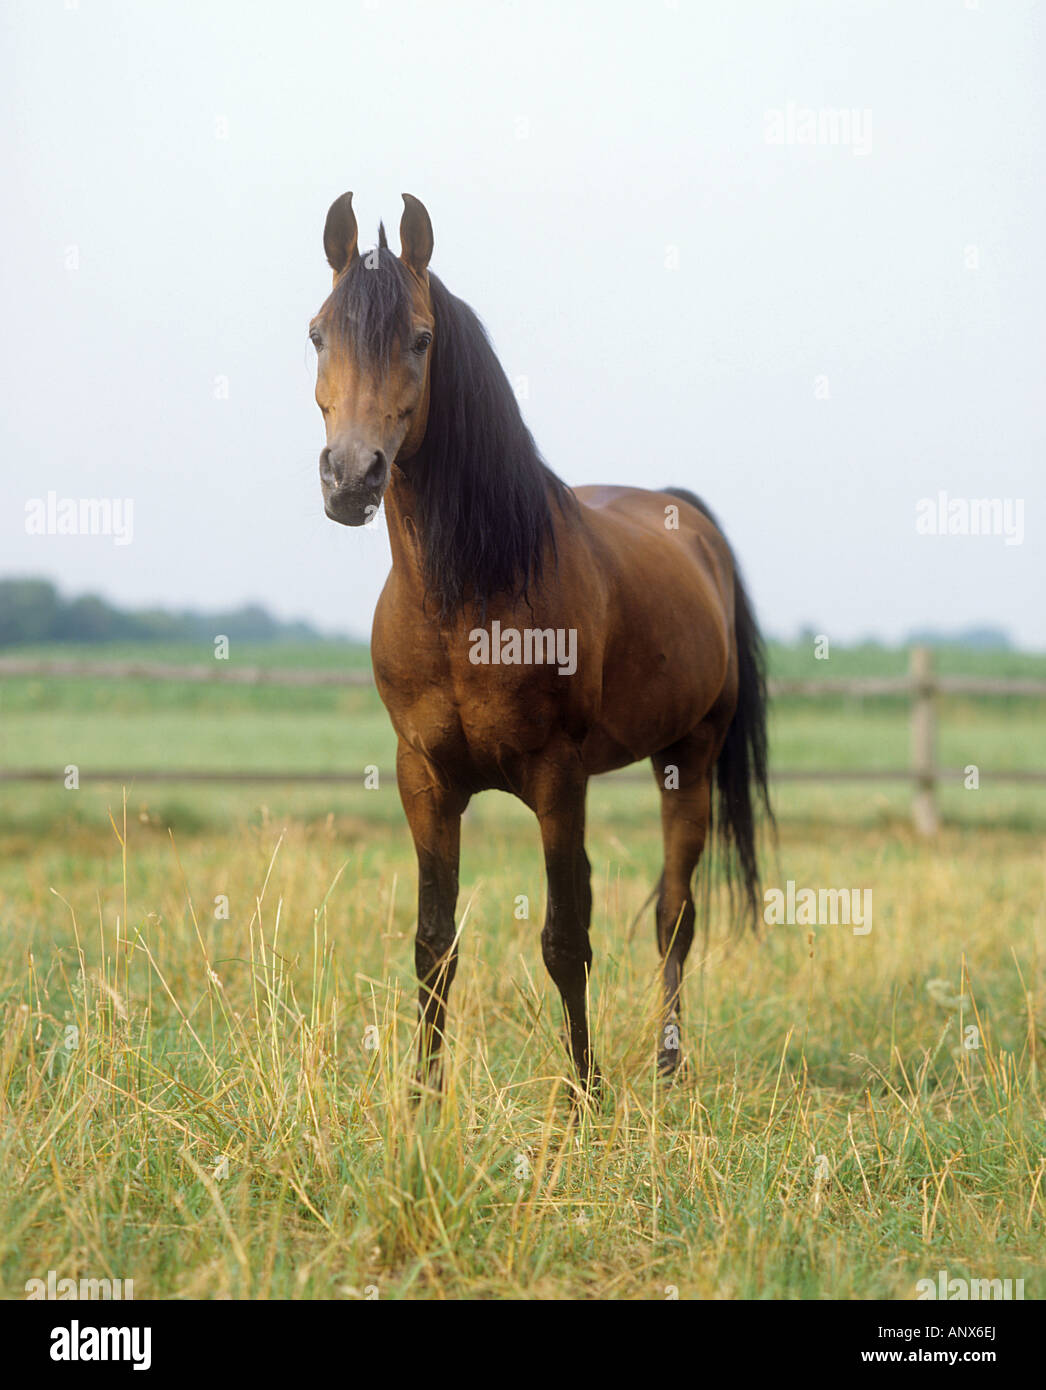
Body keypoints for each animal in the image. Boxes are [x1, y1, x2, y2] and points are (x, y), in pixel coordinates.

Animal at [308, 191, 772, 1099]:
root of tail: (685, 518)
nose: (351, 478)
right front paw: (424, 1099)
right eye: (316, 333)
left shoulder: (558, 780)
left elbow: (564, 941)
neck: (464, 601)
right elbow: (434, 944)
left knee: (675, 915)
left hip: (688, 758)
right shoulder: (425, 781)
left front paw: (585, 1098)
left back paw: (667, 1065)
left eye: (420, 339)